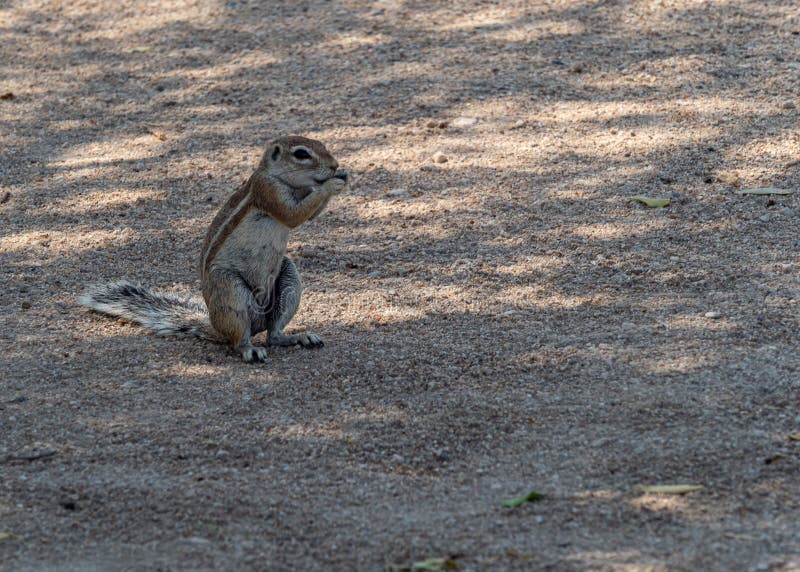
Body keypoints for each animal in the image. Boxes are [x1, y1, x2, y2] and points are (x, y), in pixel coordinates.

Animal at [79, 135, 348, 363]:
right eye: (301, 154)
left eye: (322, 144)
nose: (334, 165)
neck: (287, 182)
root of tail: (216, 326)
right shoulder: (268, 192)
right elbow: (294, 215)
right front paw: (332, 183)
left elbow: (310, 214)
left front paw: (343, 174)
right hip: (229, 289)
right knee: (240, 339)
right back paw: (250, 350)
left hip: (288, 281)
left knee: (274, 334)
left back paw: (299, 337)